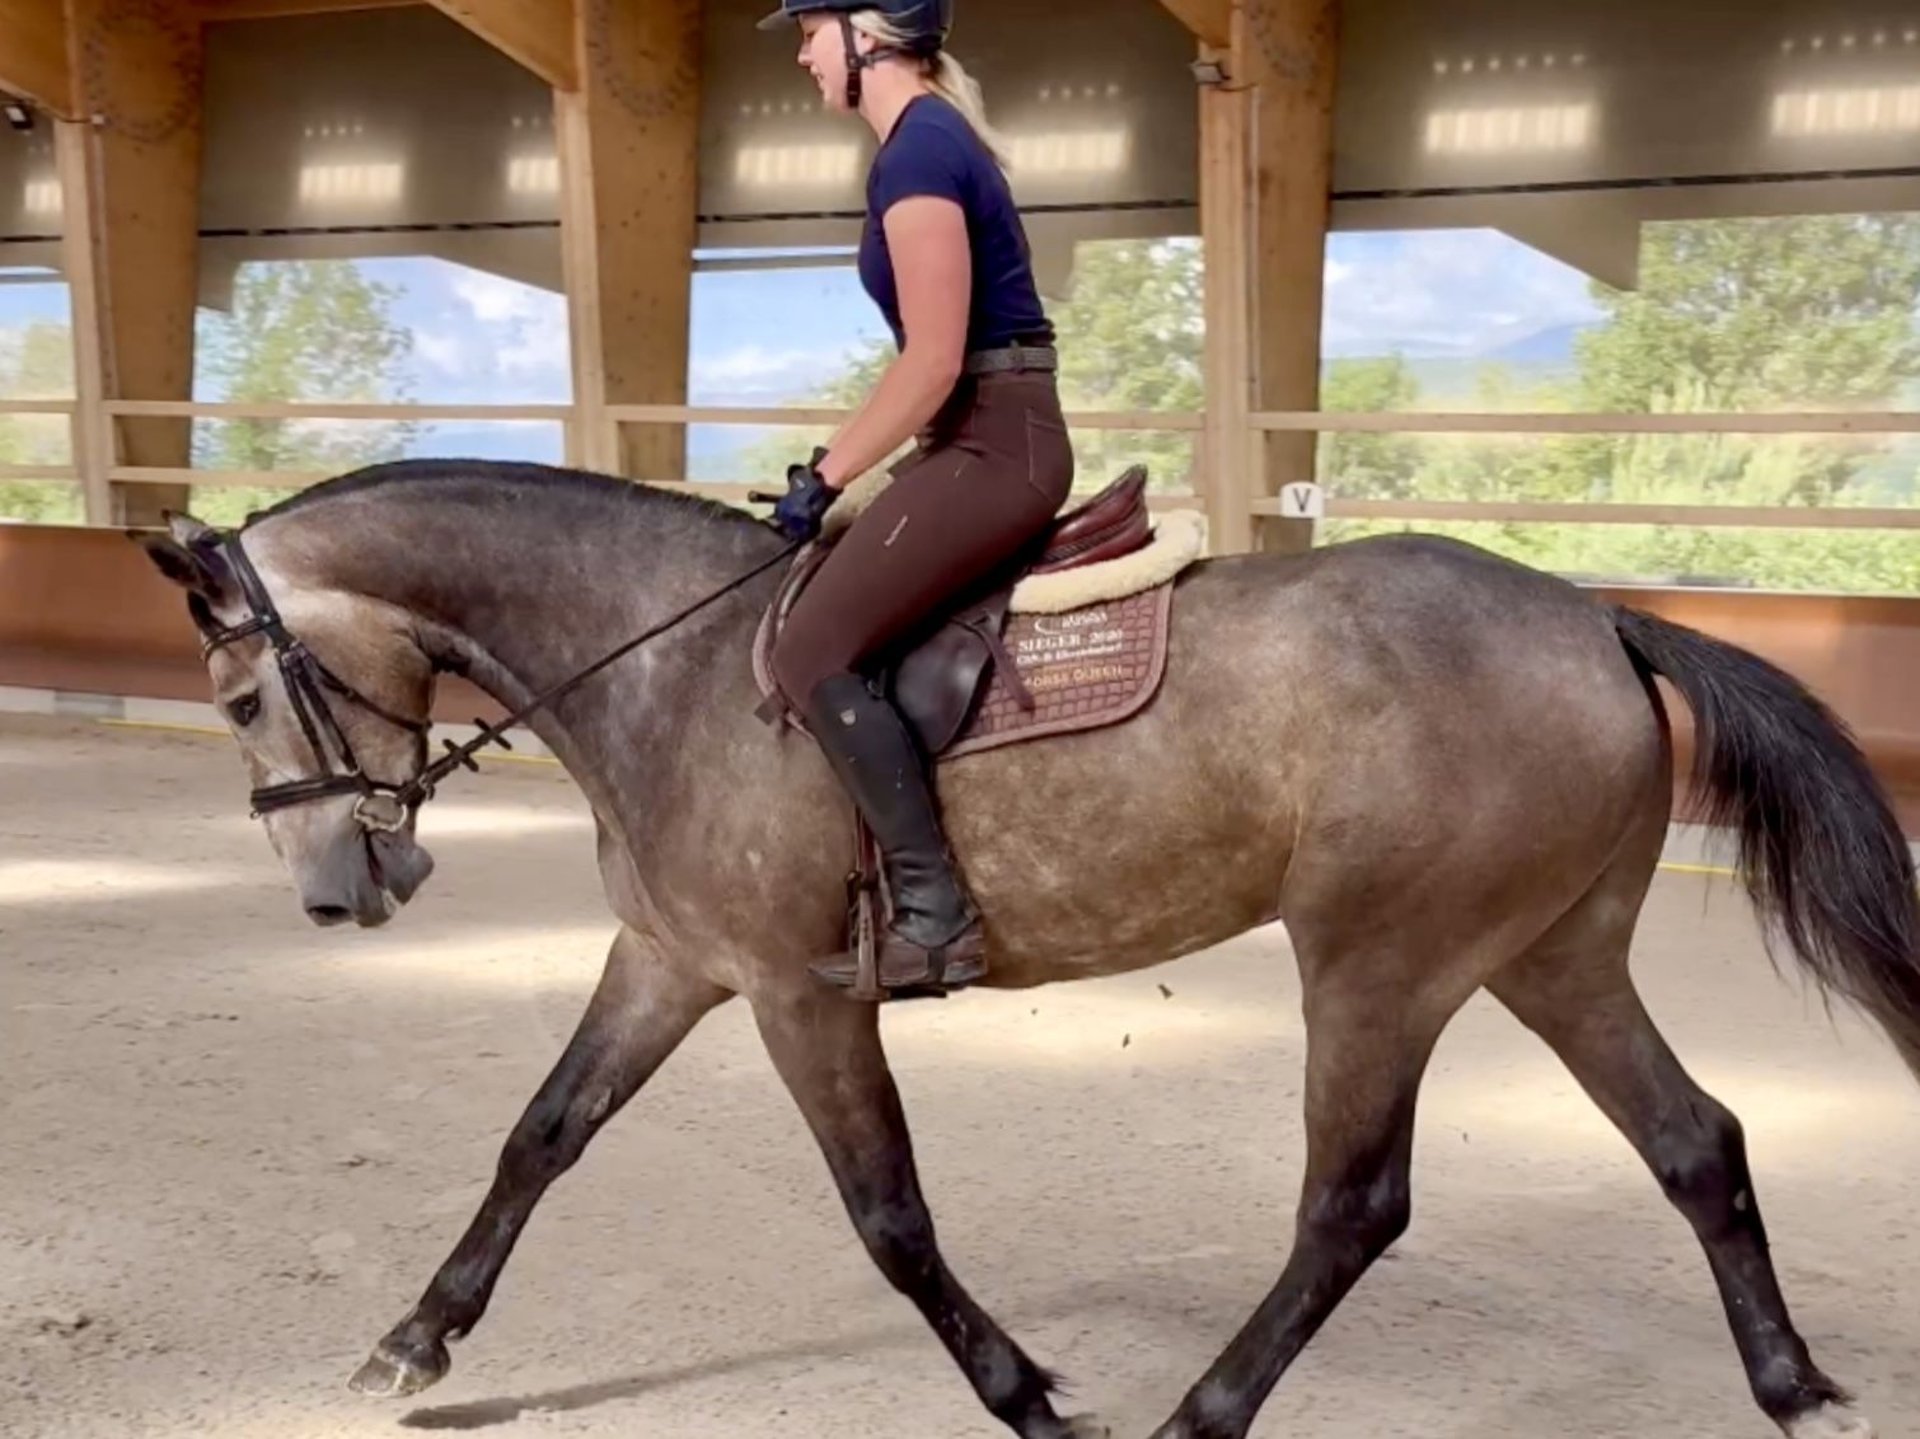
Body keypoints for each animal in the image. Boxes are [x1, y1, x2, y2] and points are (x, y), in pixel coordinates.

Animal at [135, 457, 1918, 1439]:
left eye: (241, 692)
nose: (338, 891)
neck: (672, 661)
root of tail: (1593, 613)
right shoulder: (672, 959)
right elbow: (541, 1135)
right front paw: (412, 1339)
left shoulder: (793, 994)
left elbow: (890, 1217)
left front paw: (1030, 1392)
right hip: (1551, 952)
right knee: (1698, 1141)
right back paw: (1793, 1383)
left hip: (1382, 965)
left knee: (1355, 1204)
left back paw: (1203, 1411)